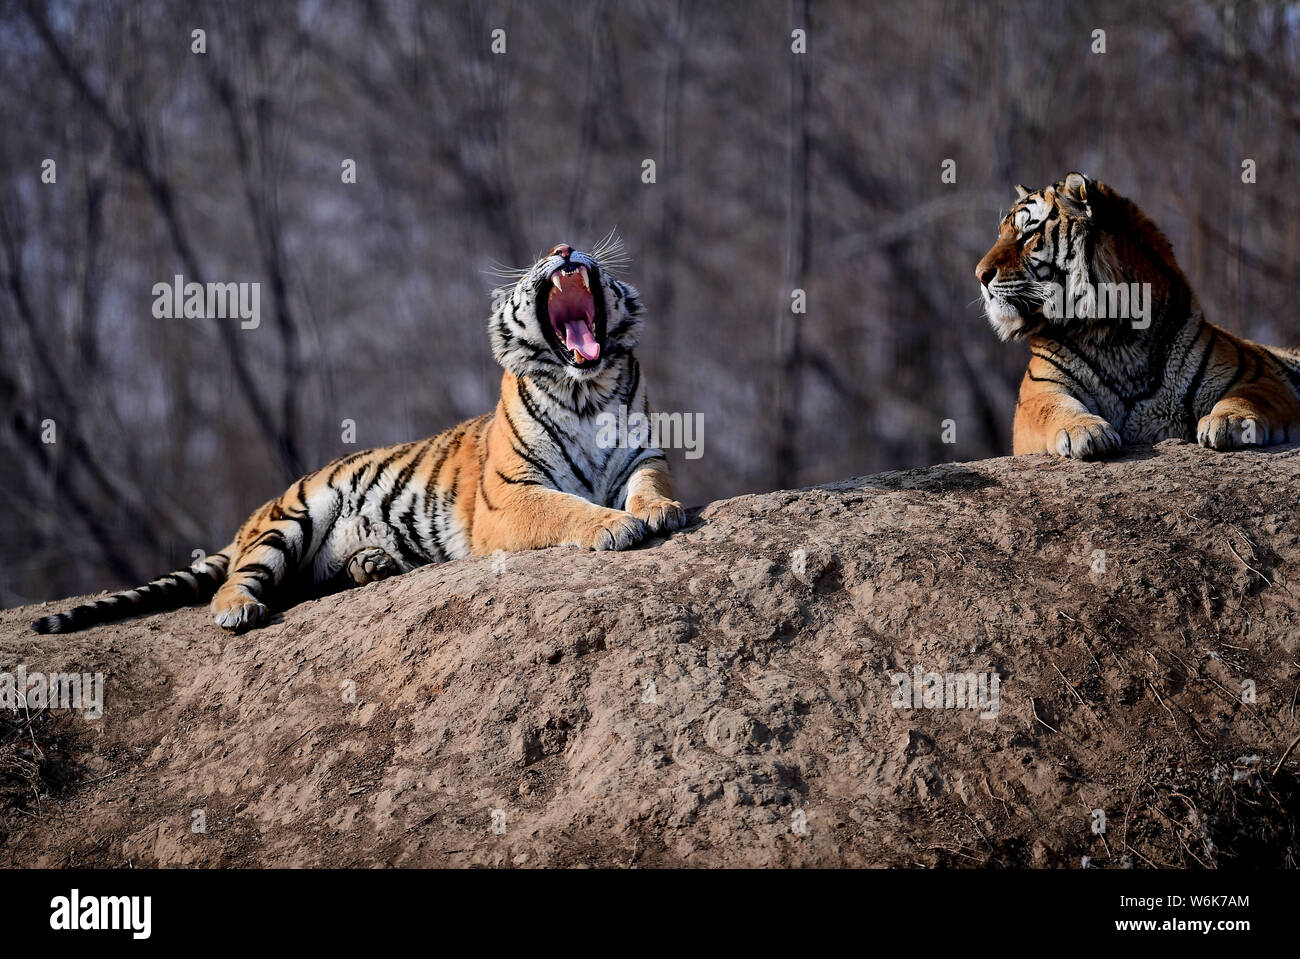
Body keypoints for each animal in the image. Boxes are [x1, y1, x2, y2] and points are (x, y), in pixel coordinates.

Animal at [32, 241, 685, 635]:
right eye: (536, 262)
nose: (564, 248)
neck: (585, 390)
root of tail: (254, 515)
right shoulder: (508, 496)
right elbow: (564, 508)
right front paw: (612, 525)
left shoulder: (643, 454)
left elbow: (650, 485)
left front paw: (660, 512)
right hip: (290, 520)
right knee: (239, 581)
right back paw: (241, 611)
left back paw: (372, 563)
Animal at [975, 172, 1300, 458]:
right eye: (1002, 235)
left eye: (1028, 234)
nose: (979, 275)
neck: (1116, 336)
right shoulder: (1037, 394)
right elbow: (1053, 409)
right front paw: (1086, 431)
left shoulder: (1256, 377)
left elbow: (1245, 398)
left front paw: (1229, 421)